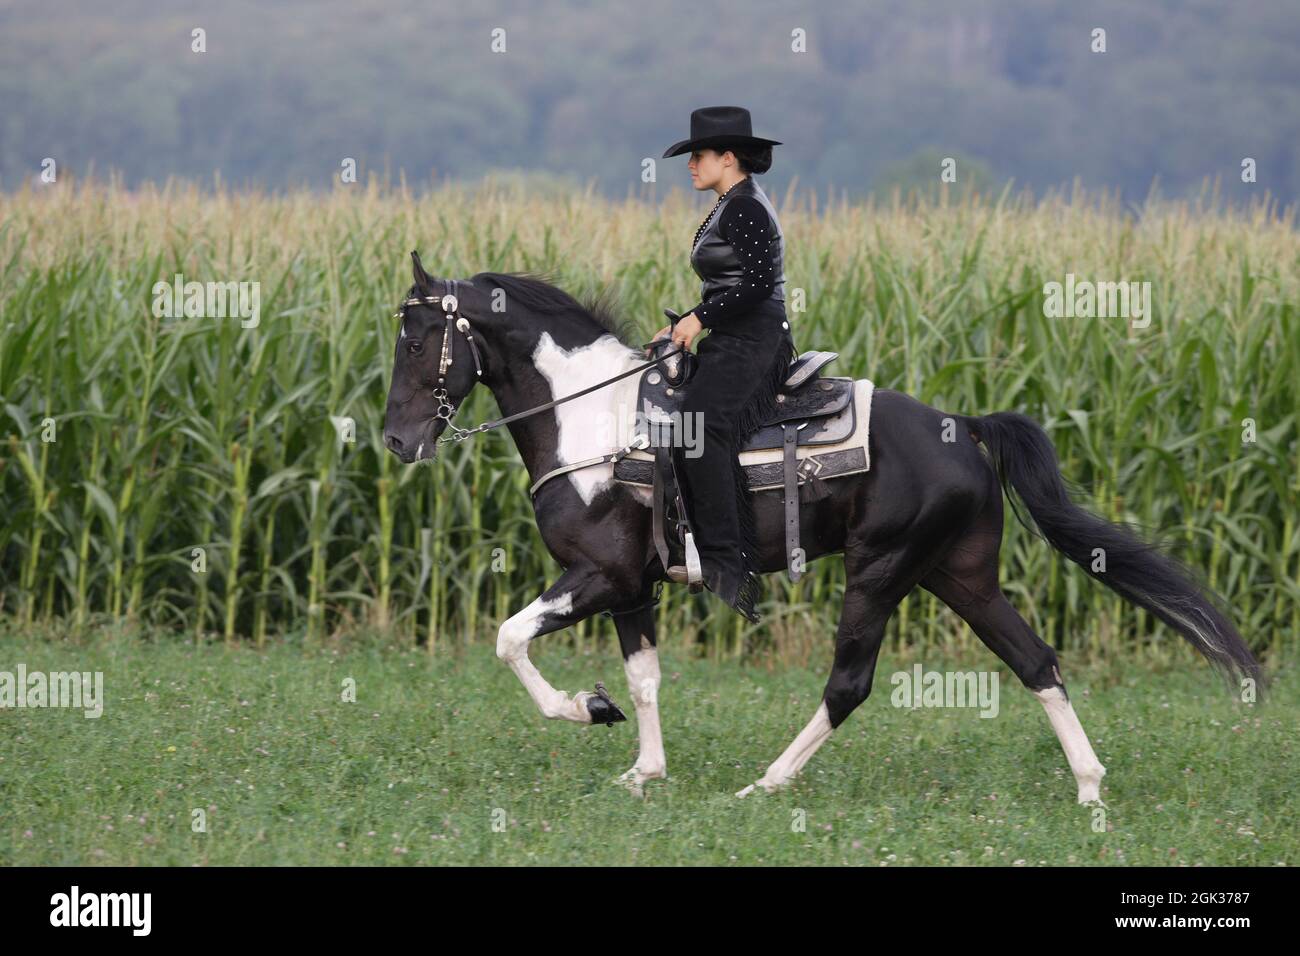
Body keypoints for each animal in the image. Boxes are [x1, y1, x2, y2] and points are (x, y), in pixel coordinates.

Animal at [381, 252, 1261, 802]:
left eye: (419, 342)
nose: (394, 440)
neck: (592, 424)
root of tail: (965, 427)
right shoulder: (633, 587)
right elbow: (646, 678)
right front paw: (644, 769)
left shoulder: (599, 576)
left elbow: (509, 637)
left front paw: (584, 710)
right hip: (960, 576)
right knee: (1035, 660)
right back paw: (1088, 788)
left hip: (879, 570)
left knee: (849, 683)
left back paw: (767, 782)